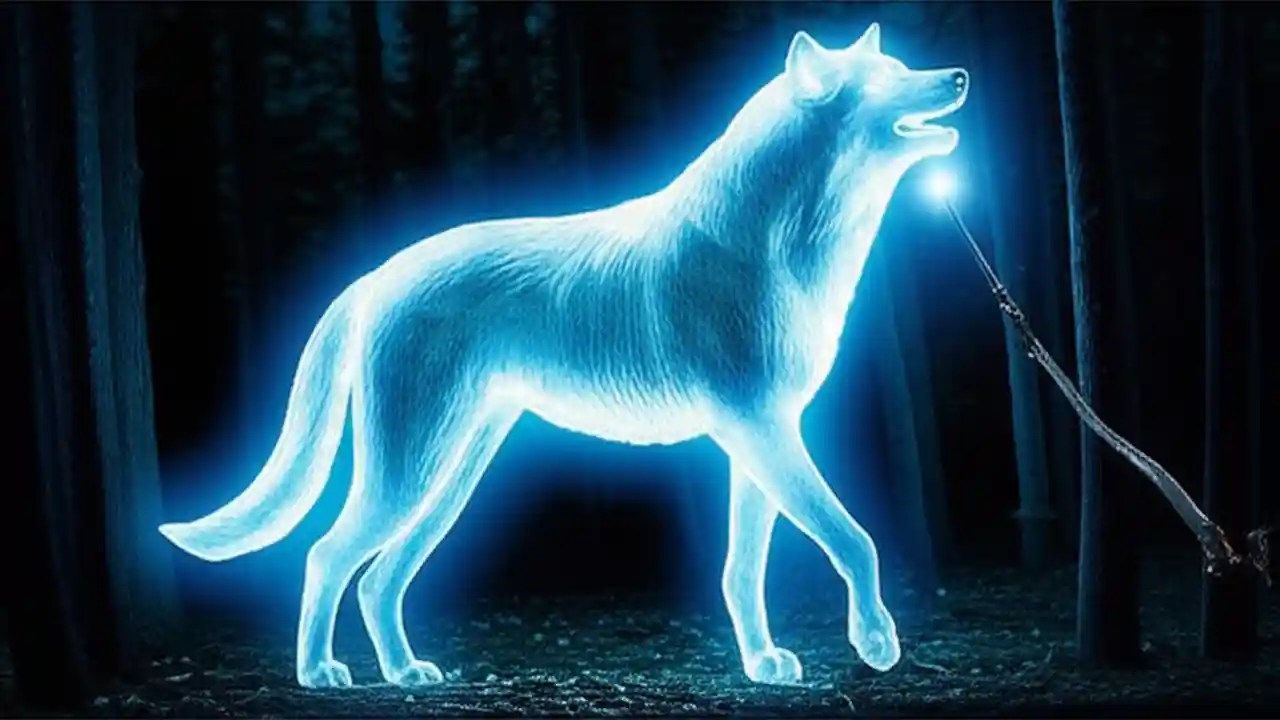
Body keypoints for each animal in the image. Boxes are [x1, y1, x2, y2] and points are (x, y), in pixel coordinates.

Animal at [159, 23, 968, 689]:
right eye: (889, 76)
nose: (959, 74)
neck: (773, 245)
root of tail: (374, 278)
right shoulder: (761, 432)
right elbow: (855, 540)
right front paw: (876, 642)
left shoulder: (757, 439)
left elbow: (743, 572)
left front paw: (764, 665)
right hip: (410, 469)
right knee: (327, 555)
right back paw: (321, 675)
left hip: (451, 472)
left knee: (378, 578)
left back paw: (404, 674)